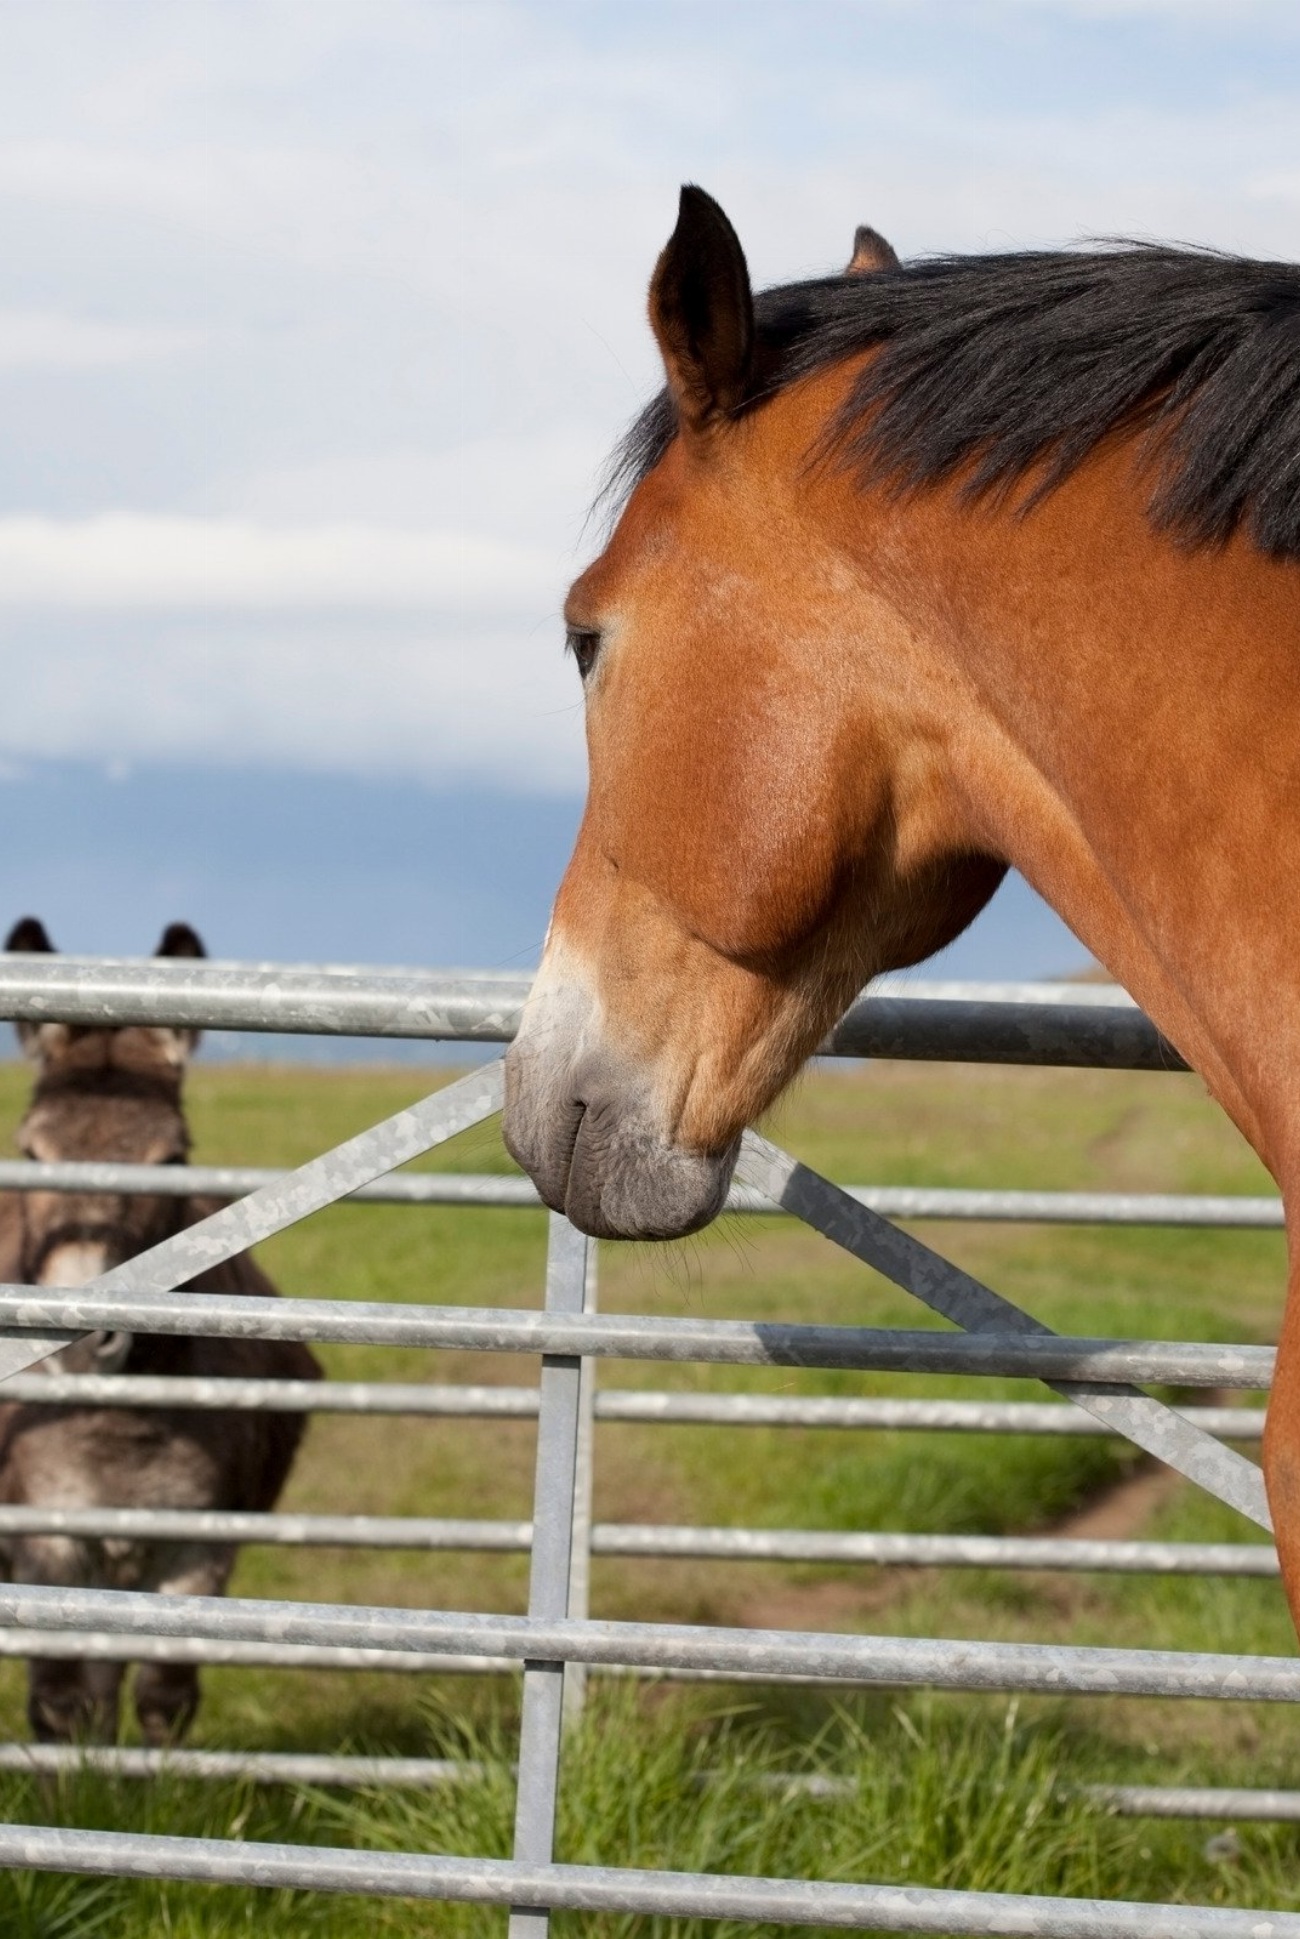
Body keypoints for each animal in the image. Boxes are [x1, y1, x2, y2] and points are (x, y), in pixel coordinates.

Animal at [0, 917, 320, 1744]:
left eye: (171, 1156)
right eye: (31, 1152)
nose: (86, 1342)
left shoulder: (198, 1545)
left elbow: (164, 1698)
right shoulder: (48, 1539)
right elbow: (61, 1706)